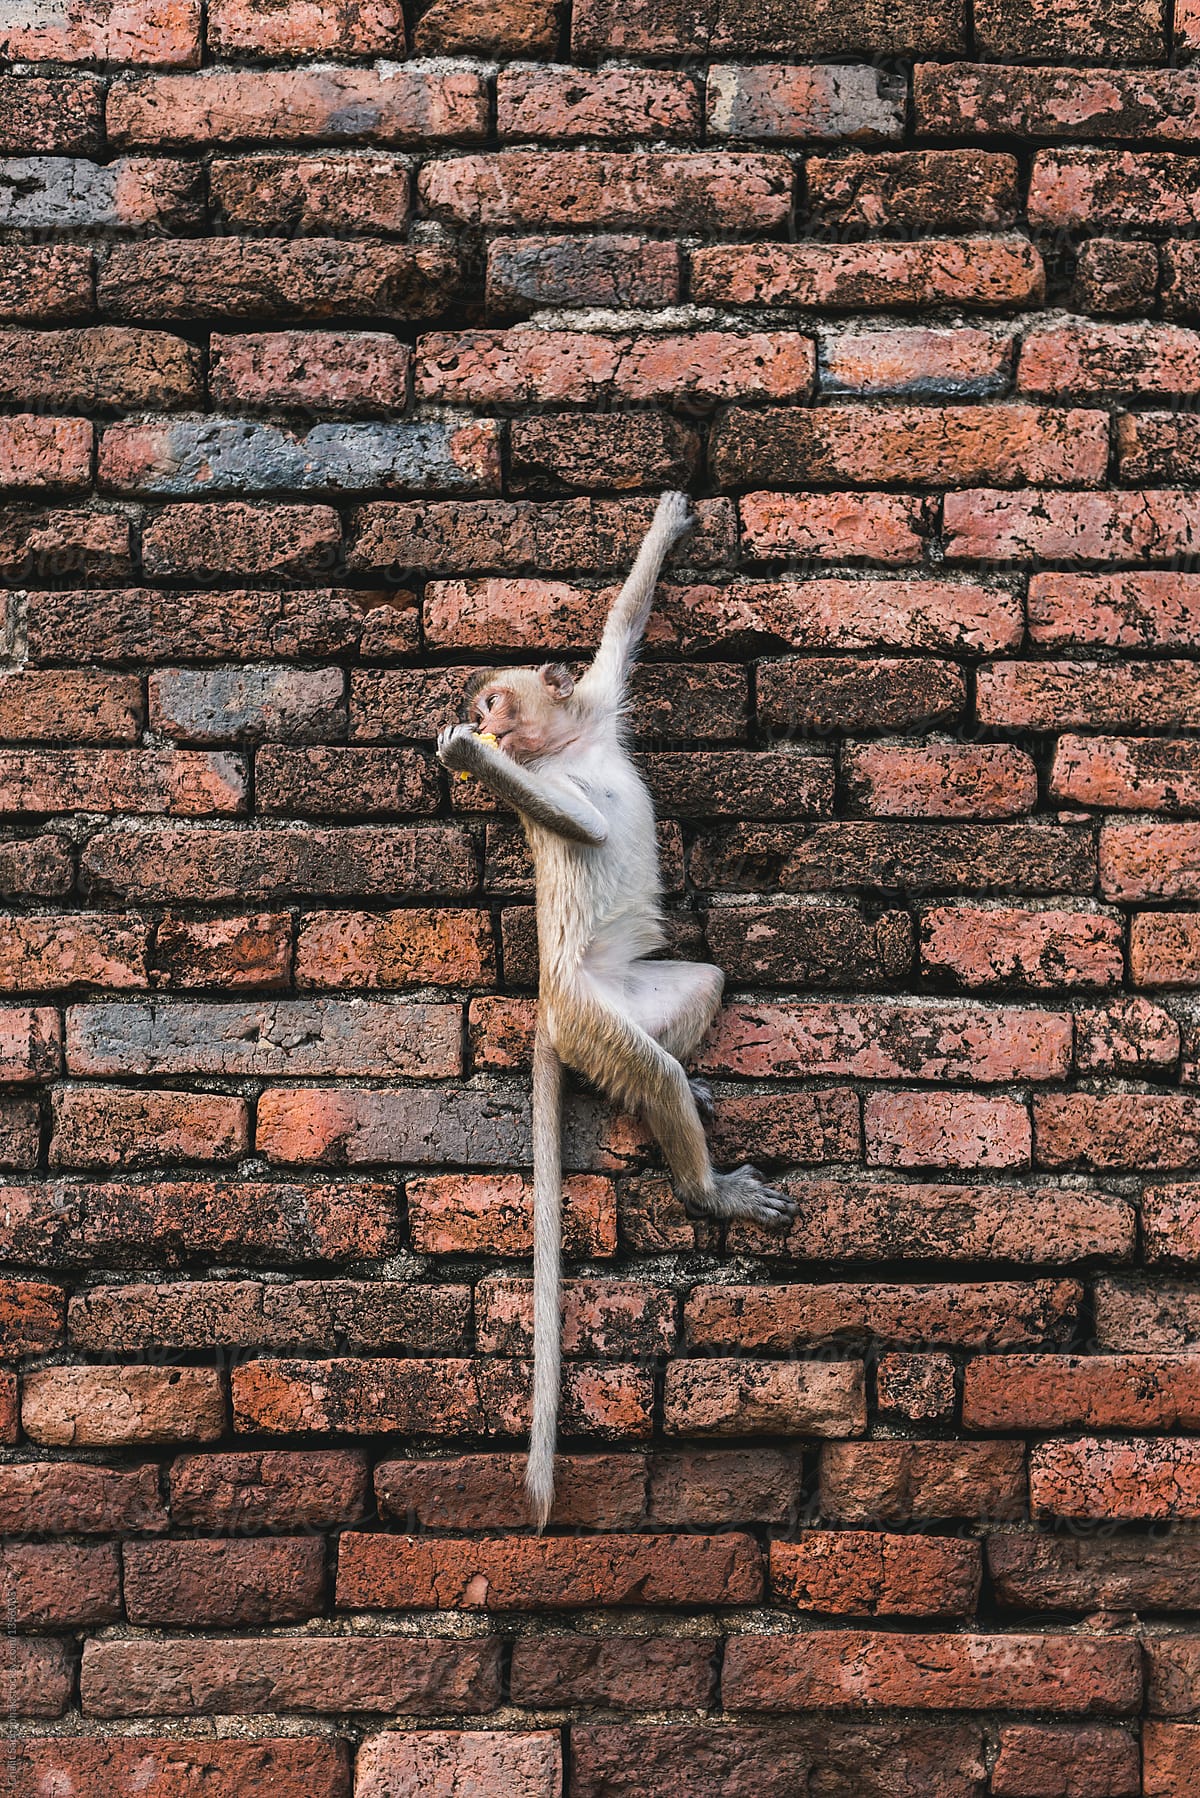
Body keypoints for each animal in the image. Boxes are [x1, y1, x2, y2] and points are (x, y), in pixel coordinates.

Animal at [437, 490, 796, 1527]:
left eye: (495, 698)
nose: (480, 720)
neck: (564, 745)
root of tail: (553, 1004)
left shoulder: (597, 702)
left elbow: (620, 631)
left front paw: (665, 531)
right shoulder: (550, 788)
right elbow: (581, 826)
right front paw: (469, 763)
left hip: (624, 998)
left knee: (699, 987)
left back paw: (680, 1097)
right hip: (594, 1018)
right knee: (653, 1070)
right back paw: (703, 1182)